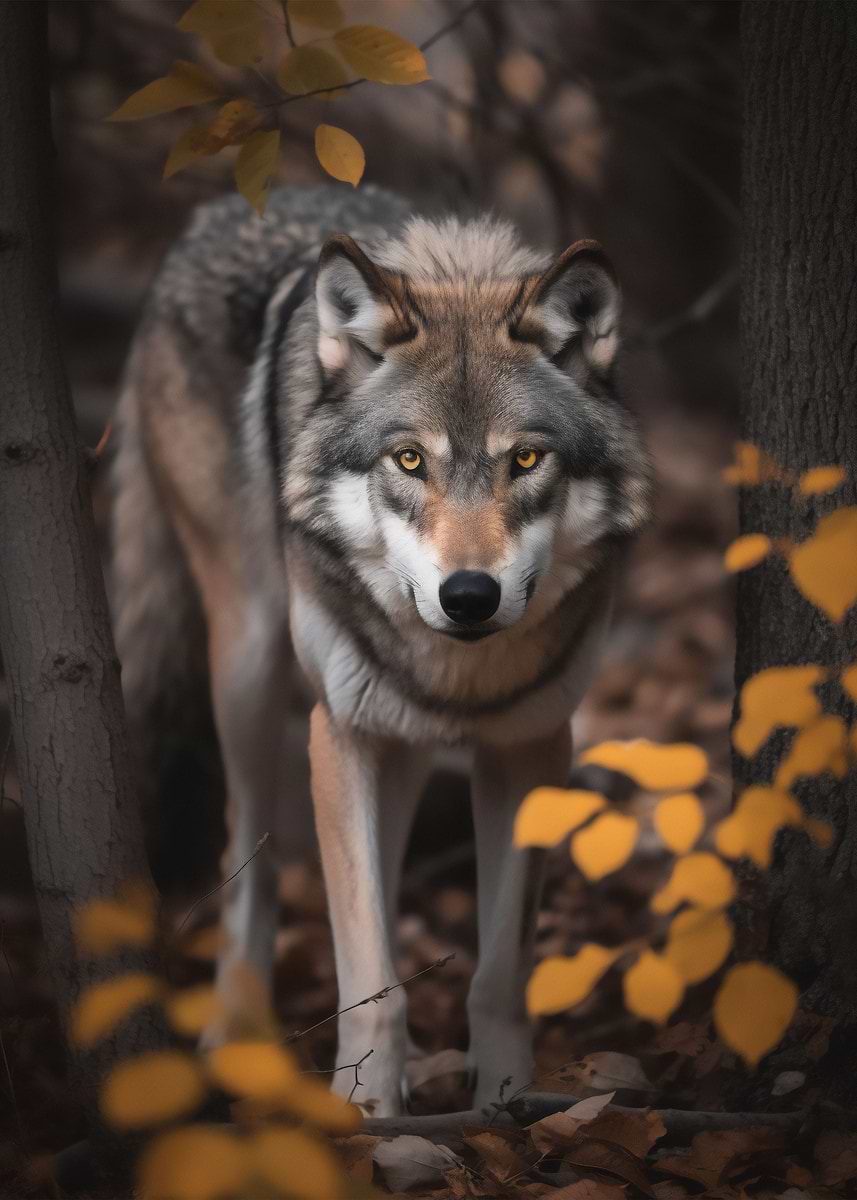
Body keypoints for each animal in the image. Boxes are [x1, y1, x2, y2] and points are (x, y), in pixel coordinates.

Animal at [111, 183, 650, 1116]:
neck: (457, 674)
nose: (467, 595)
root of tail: (213, 210)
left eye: (526, 459)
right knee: (247, 858)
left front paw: (502, 1104)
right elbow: (368, 969)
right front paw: (364, 1113)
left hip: (395, 746)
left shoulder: (532, 749)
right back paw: (235, 1033)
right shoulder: (341, 736)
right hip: (250, 669)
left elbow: (499, 971)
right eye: (407, 460)